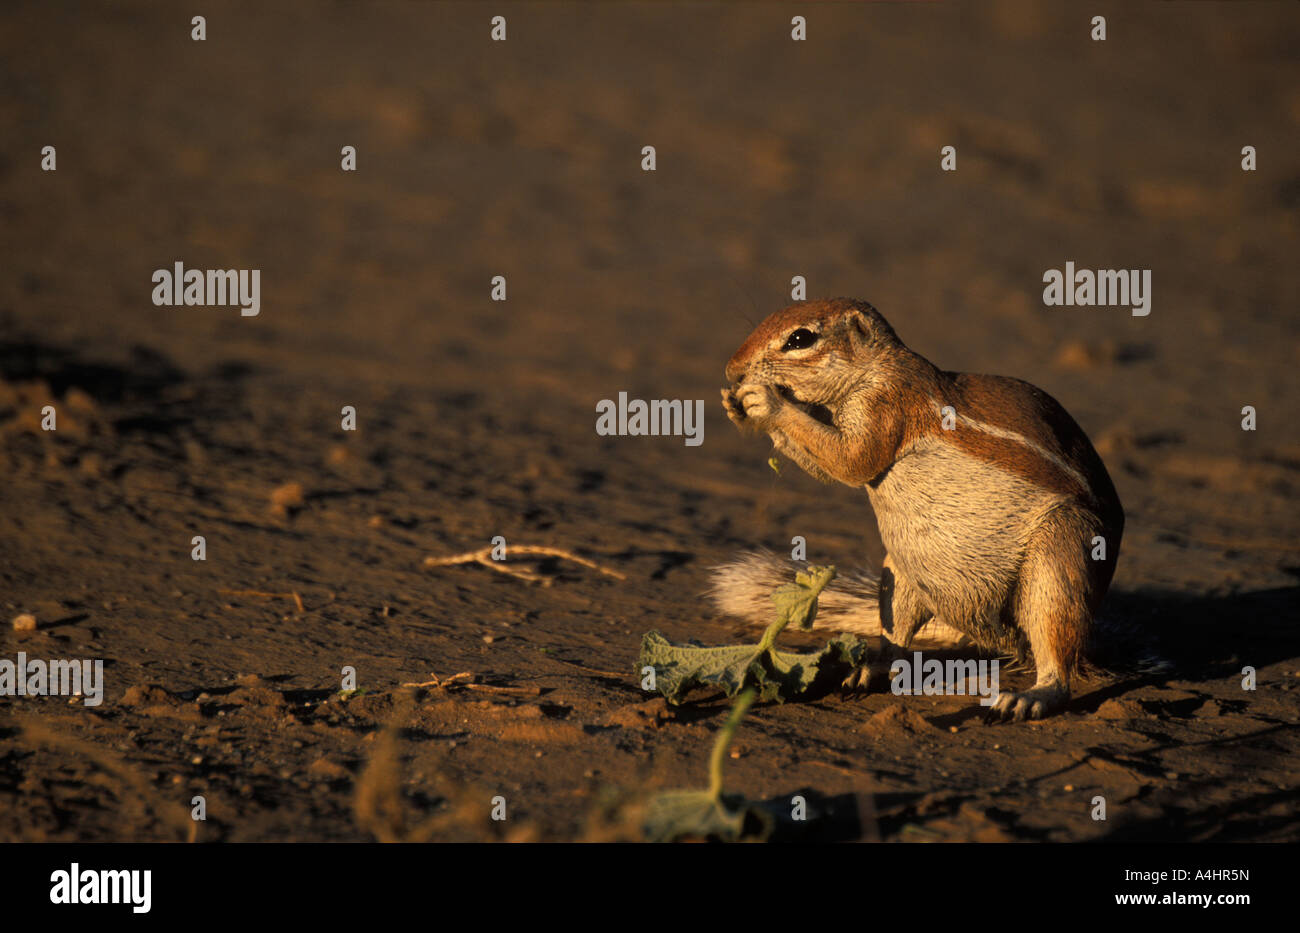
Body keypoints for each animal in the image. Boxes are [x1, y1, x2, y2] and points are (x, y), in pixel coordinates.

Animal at [715, 297, 1125, 721]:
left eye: (800, 338)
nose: (733, 370)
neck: (875, 367)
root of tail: (1000, 635)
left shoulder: (886, 404)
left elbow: (851, 460)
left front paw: (767, 402)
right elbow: (827, 466)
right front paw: (733, 403)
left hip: (1059, 559)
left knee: (1058, 658)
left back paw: (1032, 697)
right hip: (897, 579)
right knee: (897, 640)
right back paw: (870, 671)